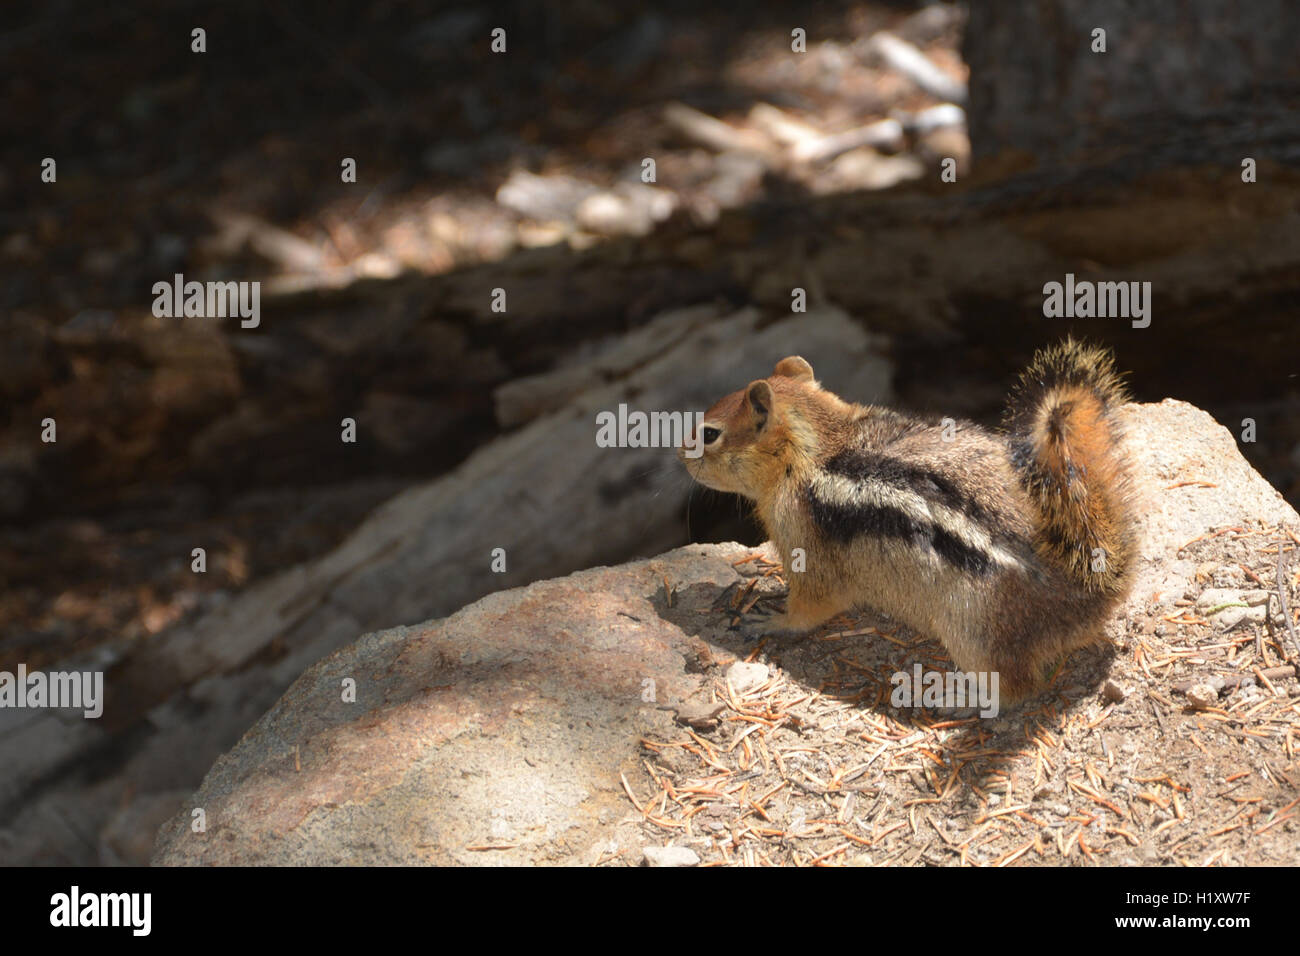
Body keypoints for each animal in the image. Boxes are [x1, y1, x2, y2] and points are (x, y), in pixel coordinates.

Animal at [678, 339, 1138, 702]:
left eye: (710, 434)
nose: (680, 452)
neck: (818, 444)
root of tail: (1088, 588)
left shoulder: (807, 553)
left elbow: (809, 607)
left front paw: (769, 620)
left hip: (973, 630)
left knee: (1017, 688)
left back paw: (955, 695)